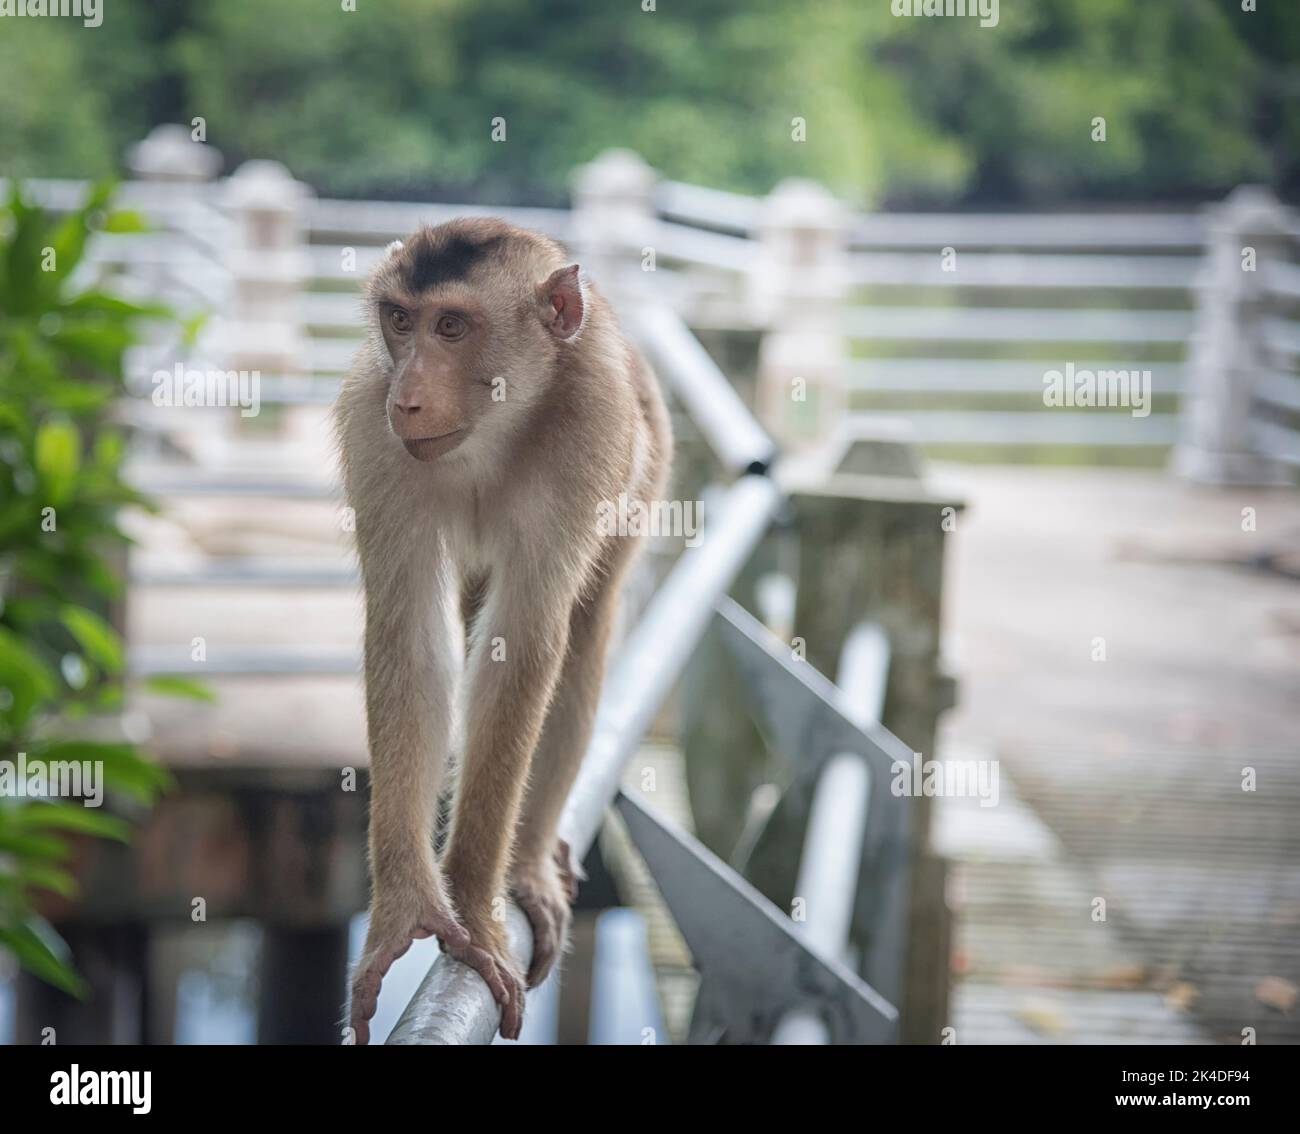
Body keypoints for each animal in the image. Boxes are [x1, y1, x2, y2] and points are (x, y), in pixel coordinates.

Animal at [334, 218, 672, 1043]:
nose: (408, 397)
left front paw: (475, 896)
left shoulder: (594, 428)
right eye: (400, 321)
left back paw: (524, 862)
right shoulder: (368, 427)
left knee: (583, 635)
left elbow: (524, 643)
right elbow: (411, 643)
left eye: (453, 328)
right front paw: (410, 904)